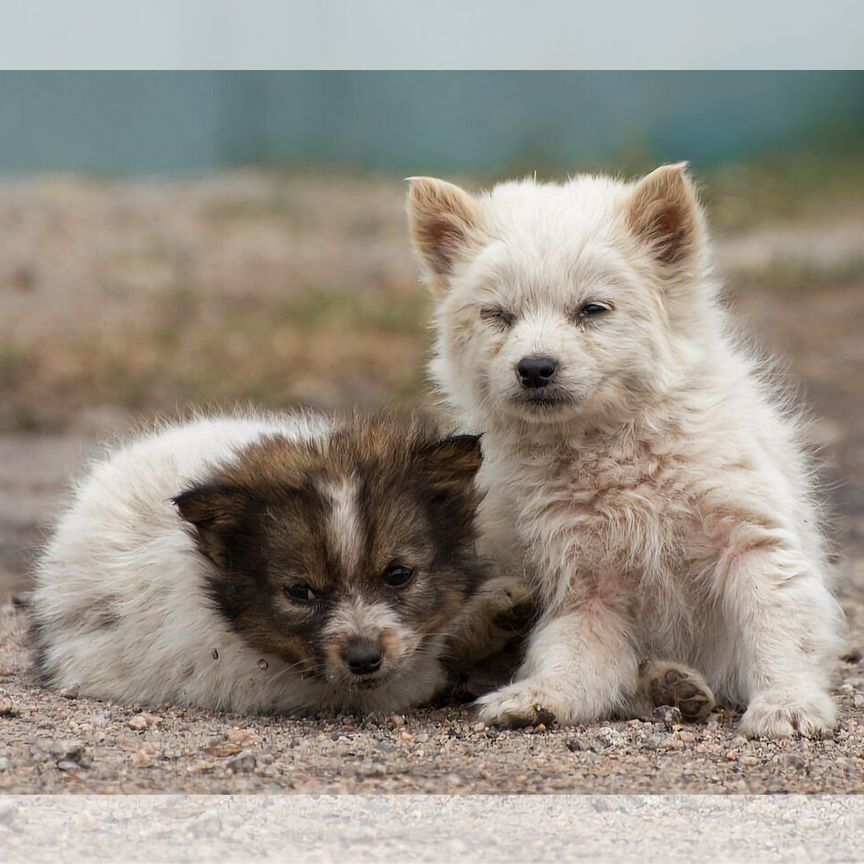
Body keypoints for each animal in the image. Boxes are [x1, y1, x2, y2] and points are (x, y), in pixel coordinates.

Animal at [408, 167, 848, 736]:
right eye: (499, 315)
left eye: (593, 310)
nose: (534, 368)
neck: (615, 446)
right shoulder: (587, 584)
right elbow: (569, 655)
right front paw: (539, 696)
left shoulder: (751, 541)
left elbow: (779, 624)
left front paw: (789, 703)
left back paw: (669, 684)